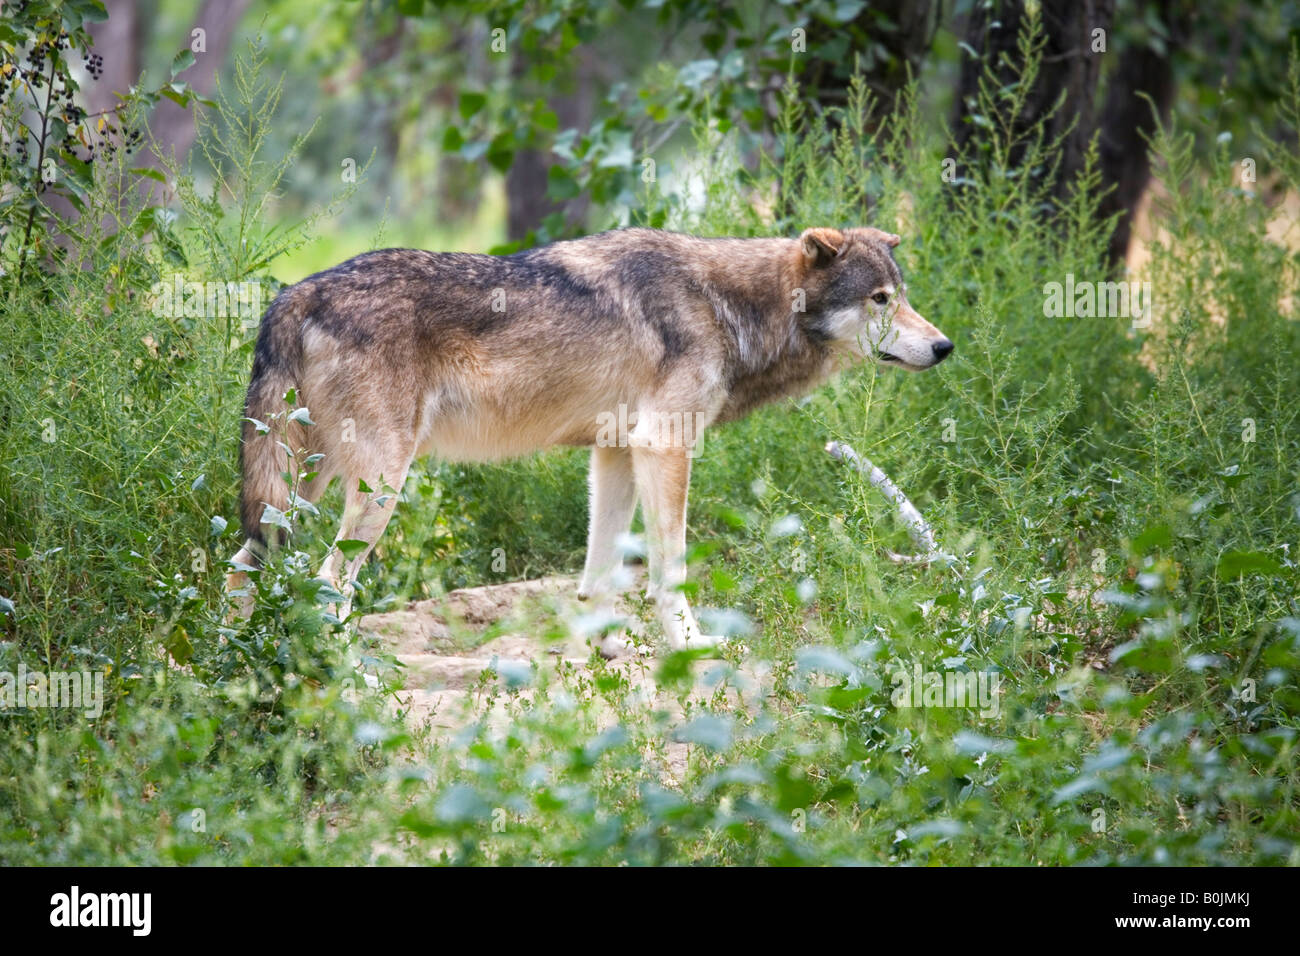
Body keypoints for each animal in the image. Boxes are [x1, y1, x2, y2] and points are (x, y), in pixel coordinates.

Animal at [226, 226, 952, 655]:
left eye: (903, 294)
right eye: (880, 299)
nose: (945, 346)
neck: (727, 305)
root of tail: (292, 295)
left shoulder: (616, 453)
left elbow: (598, 576)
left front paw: (598, 655)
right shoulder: (664, 447)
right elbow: (669, 570)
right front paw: (692, 646)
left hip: (303, 491)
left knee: (244, 568)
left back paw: (234, 667)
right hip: (377, 488)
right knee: (328, 584)